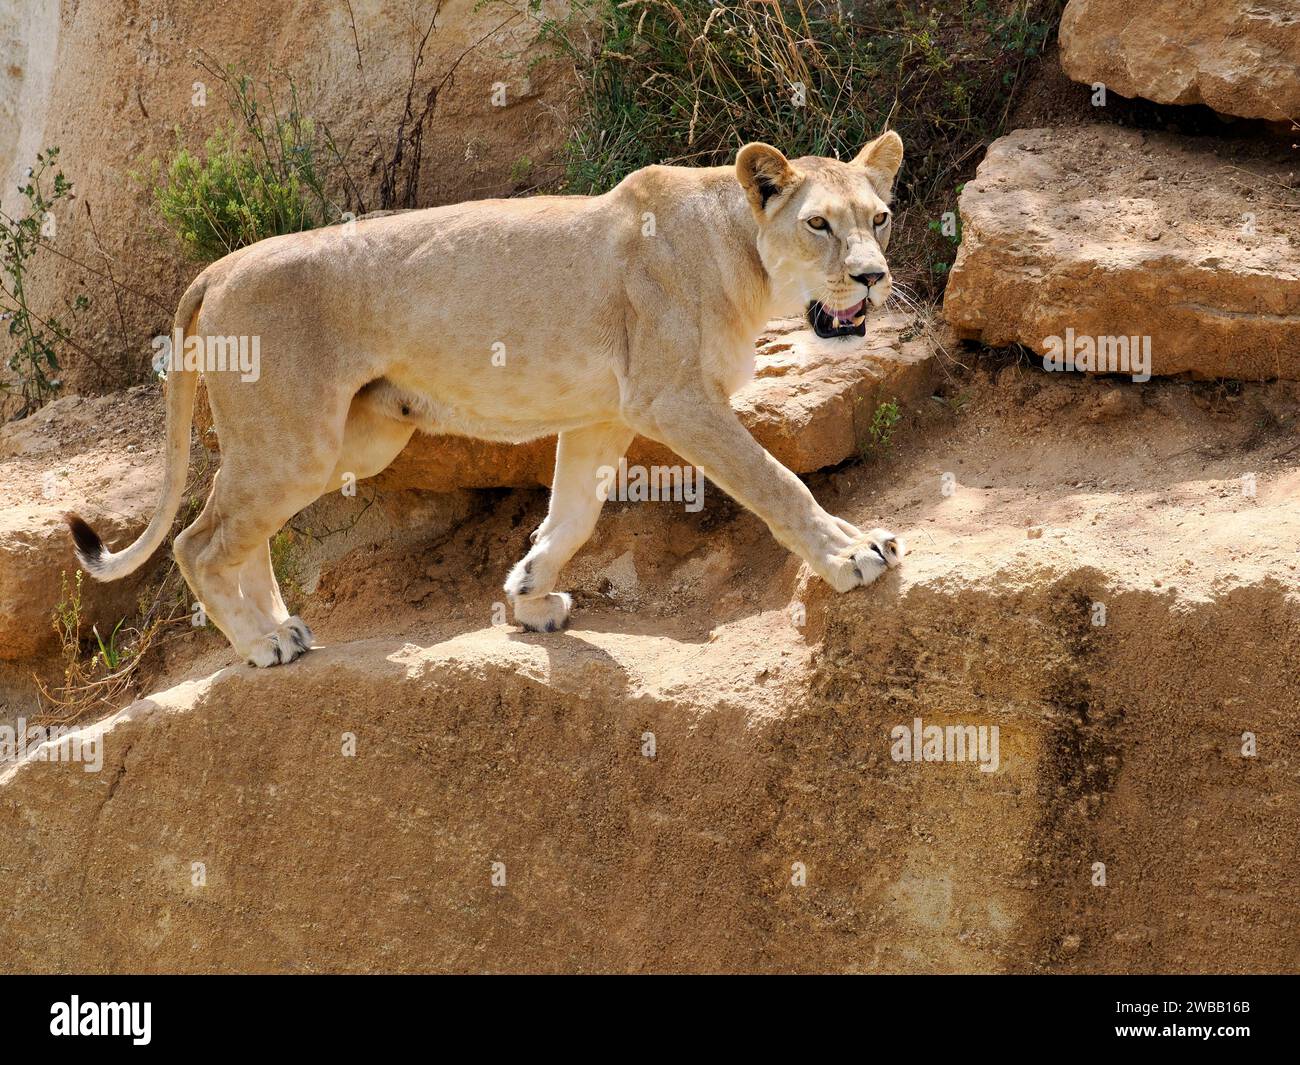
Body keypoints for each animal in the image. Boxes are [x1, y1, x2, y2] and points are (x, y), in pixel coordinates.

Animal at [67, 132, 907, 666]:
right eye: (818, 224)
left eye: (880, 218)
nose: (874, 277)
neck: (742, 253)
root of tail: (222, 263)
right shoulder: (673, 399)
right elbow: (779, 481)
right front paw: (851, 554)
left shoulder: (608, 412)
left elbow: (573, 514)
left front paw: (529, 594)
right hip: (297, 442)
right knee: (197, 540)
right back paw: (261, 644)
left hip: (350, 439)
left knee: (241, 529)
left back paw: (283, 628)